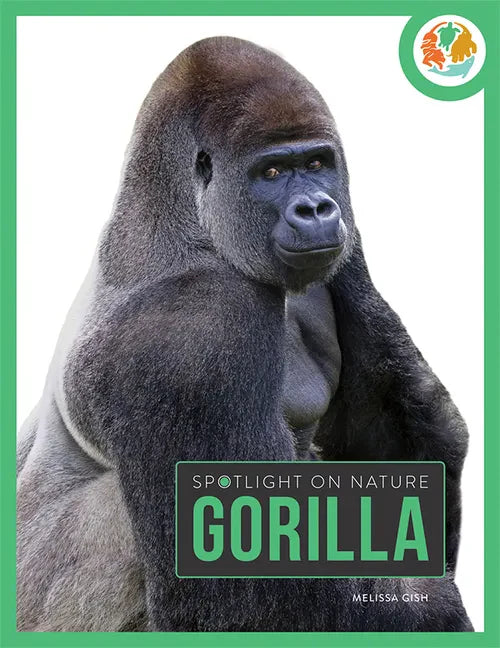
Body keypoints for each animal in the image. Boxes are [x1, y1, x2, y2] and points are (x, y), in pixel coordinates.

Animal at [17, 36, 472, 632]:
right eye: (272, 173)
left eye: (317, 163)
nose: (316, 208)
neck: (184, 220)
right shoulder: (196, 335)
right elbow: (249, 594)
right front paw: (435, 607)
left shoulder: (347, 246)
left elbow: (401, 439)